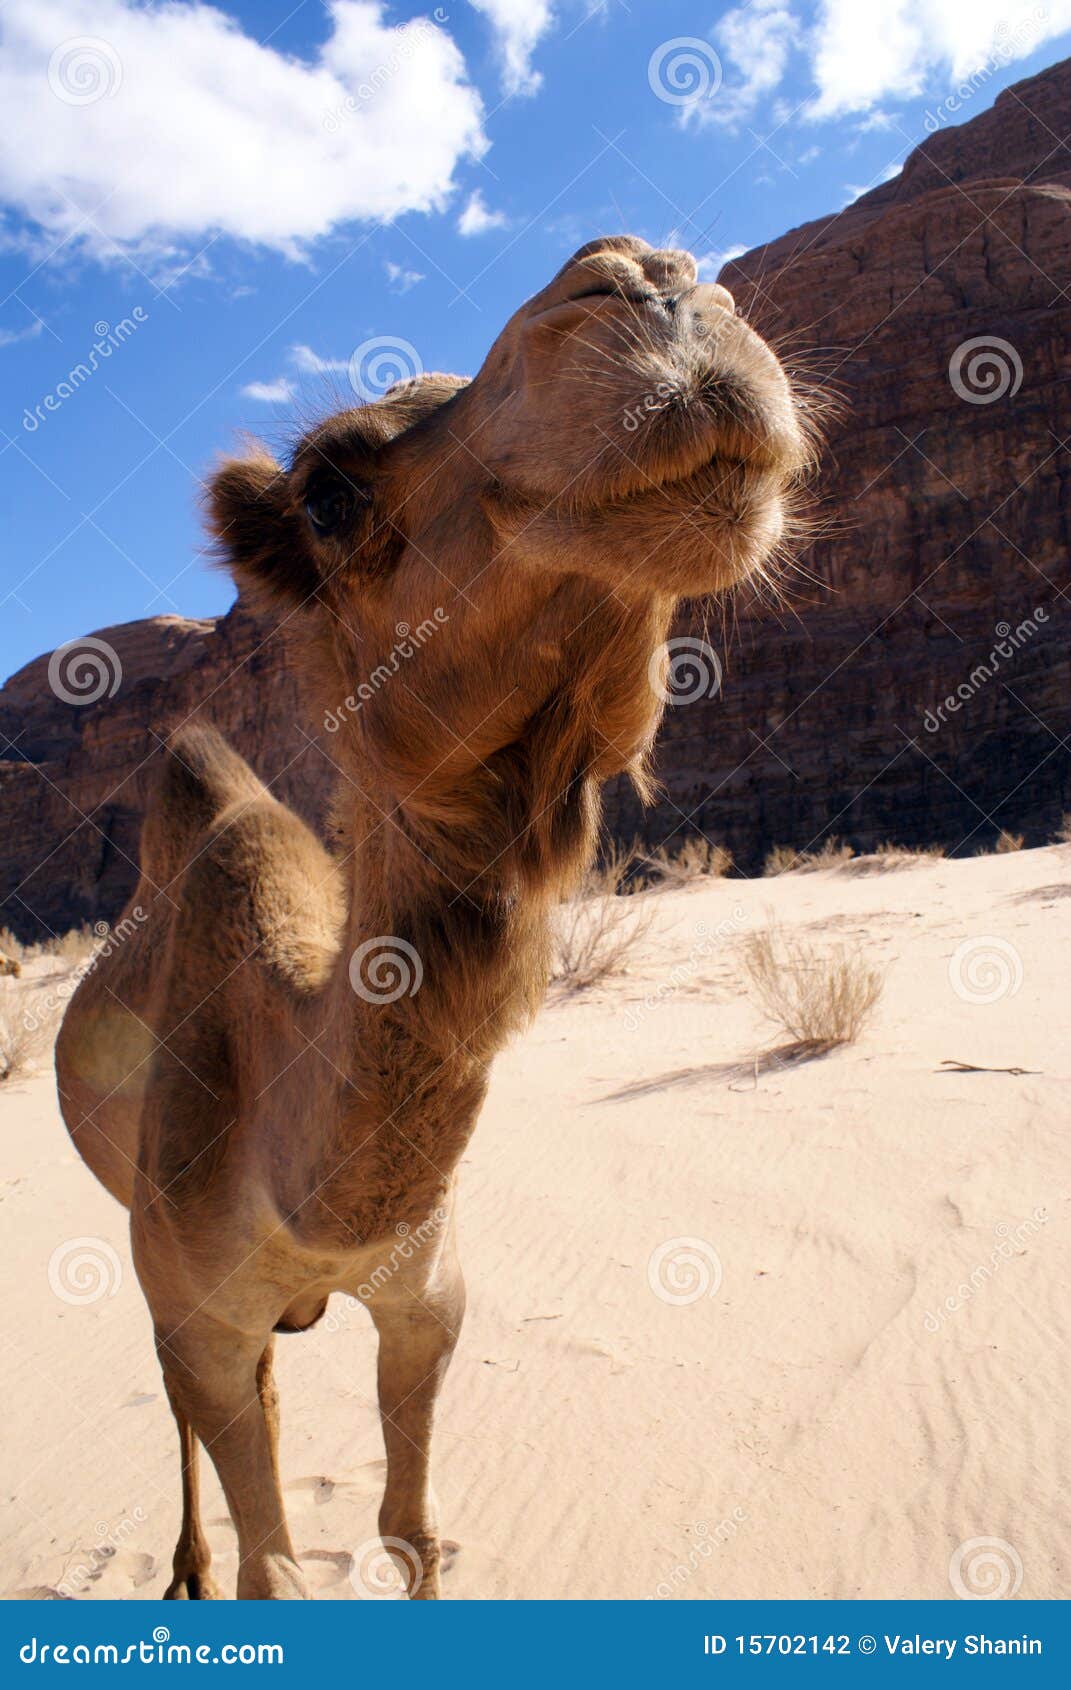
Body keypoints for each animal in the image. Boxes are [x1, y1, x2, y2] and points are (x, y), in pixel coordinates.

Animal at [56, 236, 814, 1600]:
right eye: (328, 496)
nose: (652, 282)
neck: (307, 1196)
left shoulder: (427, 1295)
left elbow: (413, 1530)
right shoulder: (196, 1298)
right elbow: (272, 1560)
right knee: (191, 1403)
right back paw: (185, 1566)